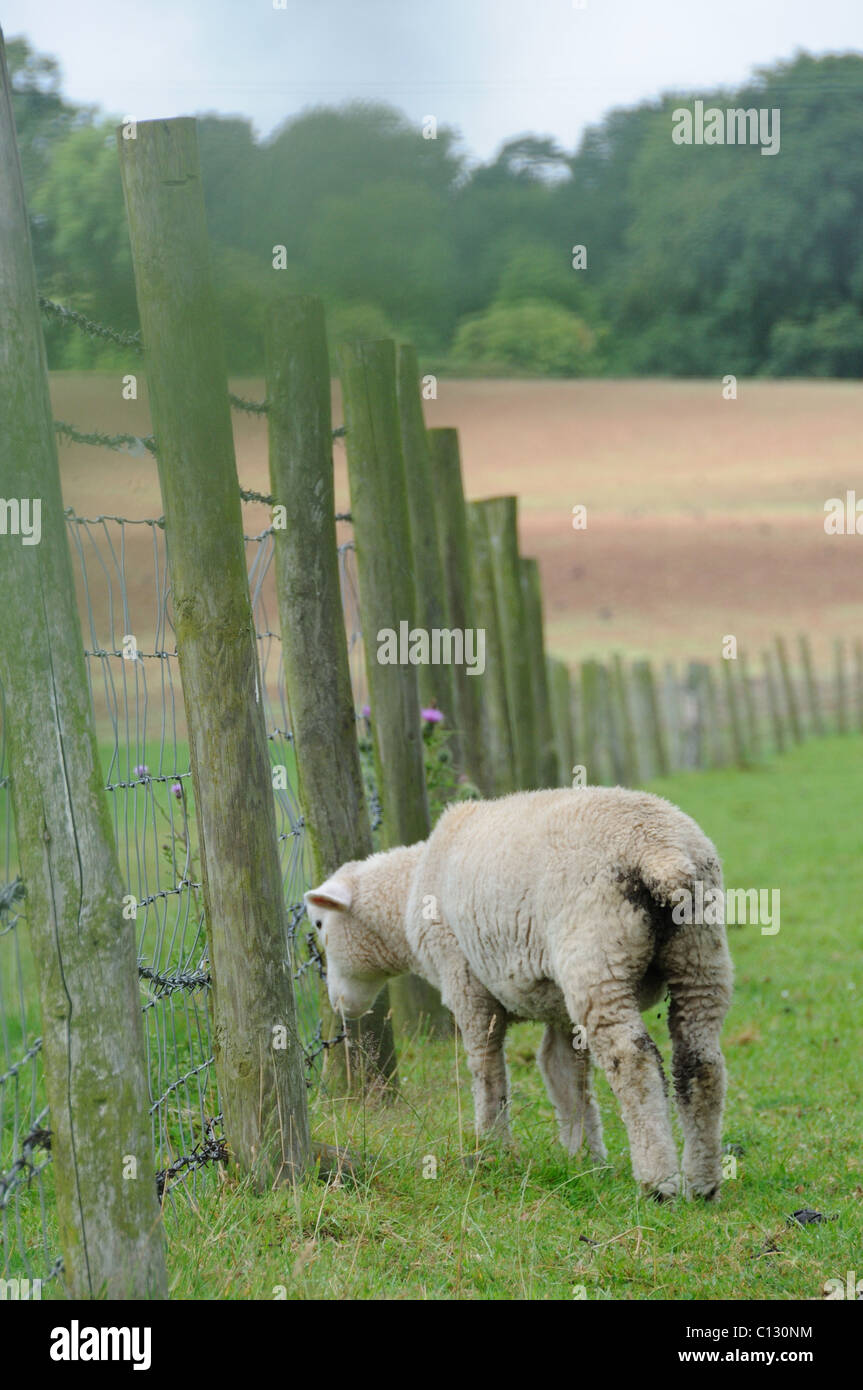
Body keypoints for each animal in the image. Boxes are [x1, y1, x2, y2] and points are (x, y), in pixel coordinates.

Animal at [305, 786, 733, 1200]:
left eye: (320, 924)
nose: (338, 1004)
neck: (409, 892)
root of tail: (662, 852)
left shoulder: (464, 980)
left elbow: (487, 1069)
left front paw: (490, 1146)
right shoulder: (561, 1012)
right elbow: (562, 1074)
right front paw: (585, 1159)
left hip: (595, 956)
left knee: (633, 1061)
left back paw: (658, 1183)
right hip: (700, 954)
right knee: (701, 1061)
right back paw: (703, 1183)